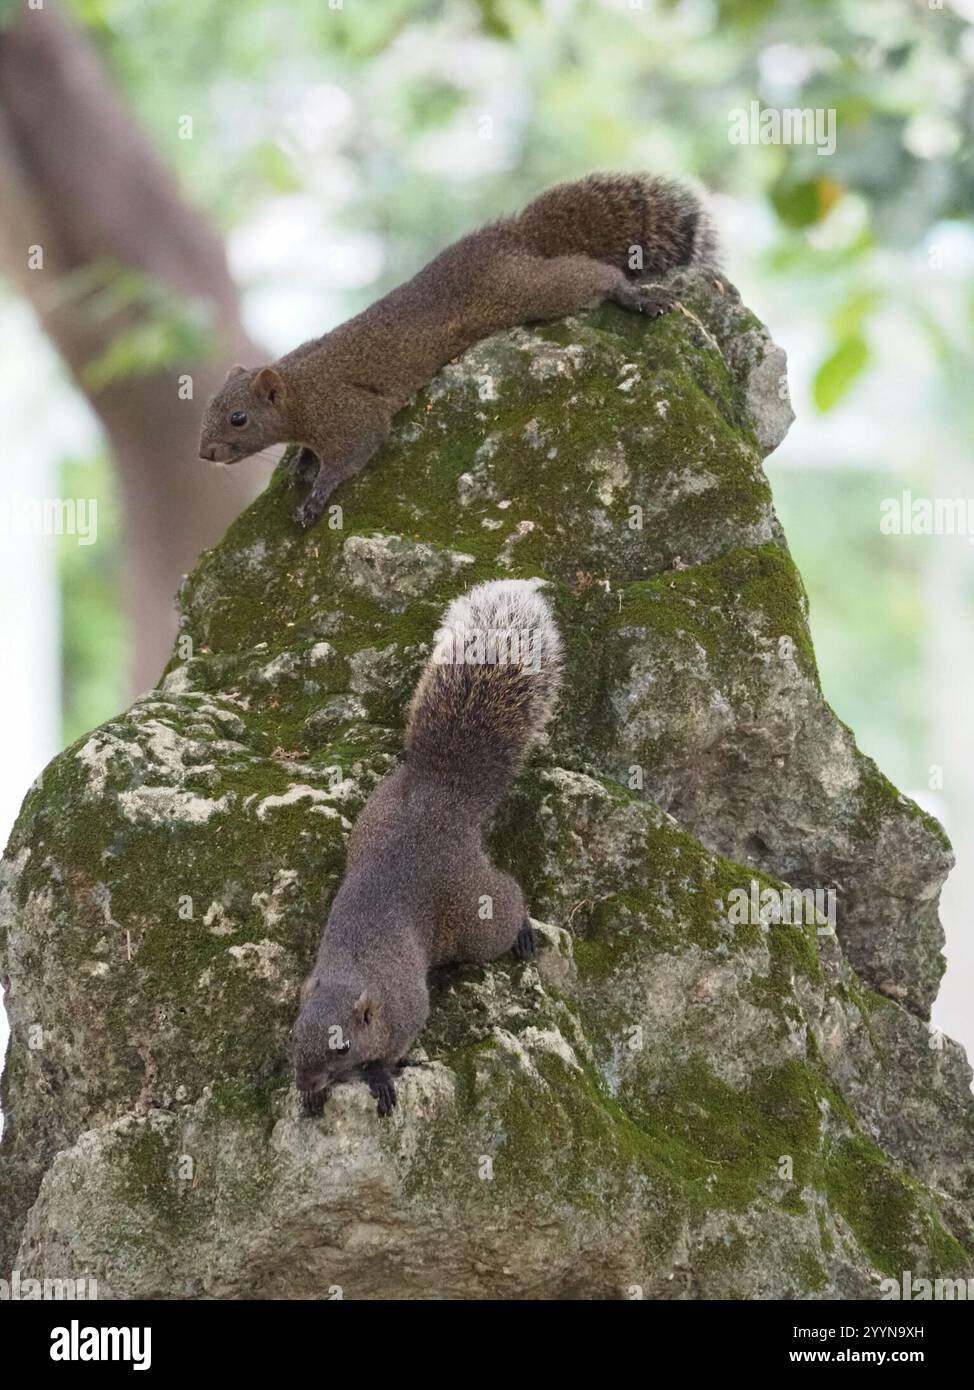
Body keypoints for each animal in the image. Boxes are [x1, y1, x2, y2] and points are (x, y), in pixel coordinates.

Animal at [199, 172, 720, 527]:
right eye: (208, 409)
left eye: (238, 418)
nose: (205, 454)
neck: (298, 388)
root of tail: (516, 235)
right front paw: (300, 464)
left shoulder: (346, 412)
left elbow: (359, 447)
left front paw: (315, 494)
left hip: (522, 291)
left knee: (594, 277)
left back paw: (636, 296)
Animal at [291, 578, 563, 1118]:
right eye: (292, 1036)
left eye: (342, 1046)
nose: (304, 1081)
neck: (351, 973)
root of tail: (443, 792)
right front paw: (312, 1096)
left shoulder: (407, 1010)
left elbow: (393, 1051)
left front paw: (377, 1078)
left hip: (475, 916)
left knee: (507, 896)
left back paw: (523, 930)